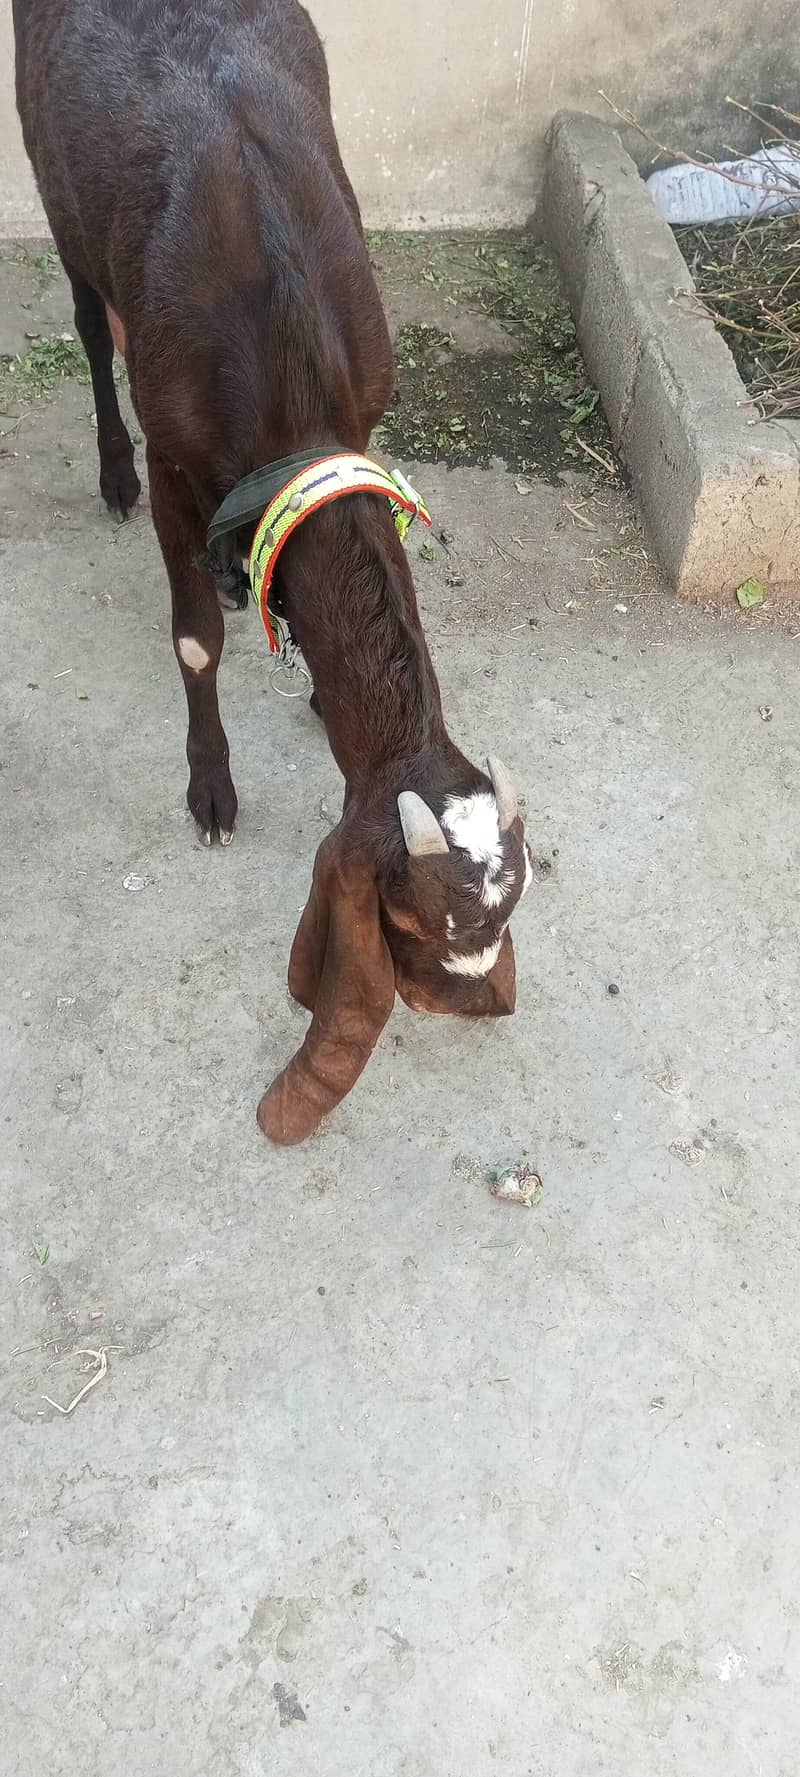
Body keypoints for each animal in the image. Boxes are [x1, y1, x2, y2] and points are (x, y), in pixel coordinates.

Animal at [14, 0, 532, 1144]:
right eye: (405, 922)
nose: (471, 997)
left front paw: (313, 688)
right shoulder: (182, 466)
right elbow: (196, 637)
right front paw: (211, 785)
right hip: (52, 186)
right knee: (87, 317)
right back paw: (106, 460)